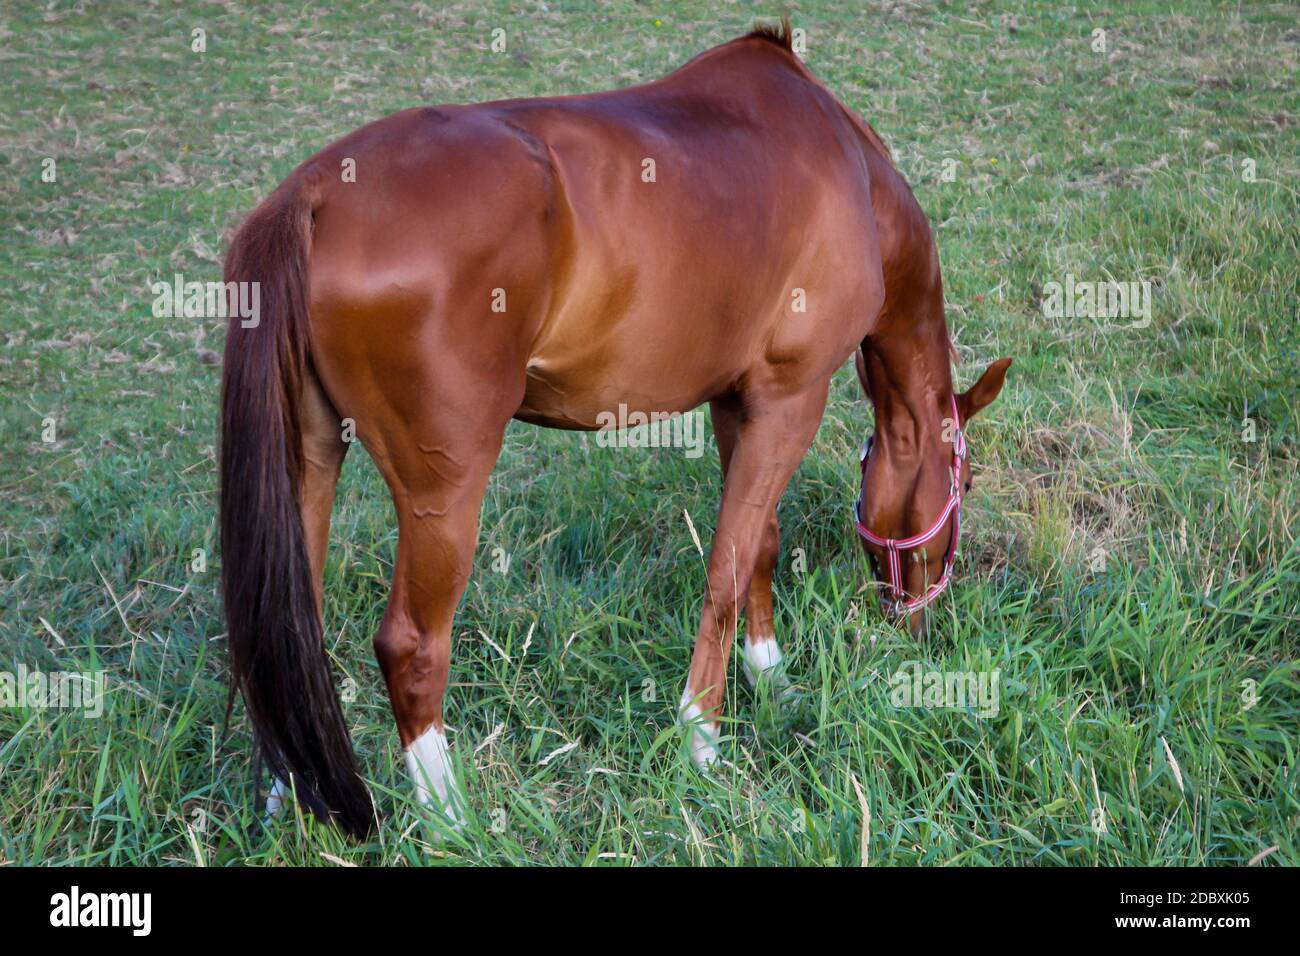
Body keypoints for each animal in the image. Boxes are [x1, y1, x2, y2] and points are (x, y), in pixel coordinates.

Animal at [219, 20, 1011, 837]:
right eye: (965, 480)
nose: (918, 626)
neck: (846, 167)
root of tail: (316, 192)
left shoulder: (739, 403)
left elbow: (758, 545)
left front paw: (774, 684)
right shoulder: (792, 399)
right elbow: (727, 569)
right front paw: (703, 742)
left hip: (310, 460)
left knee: (286, 634)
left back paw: (292, 795)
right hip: (444, 490)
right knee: (409, 645)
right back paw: (451, 818)